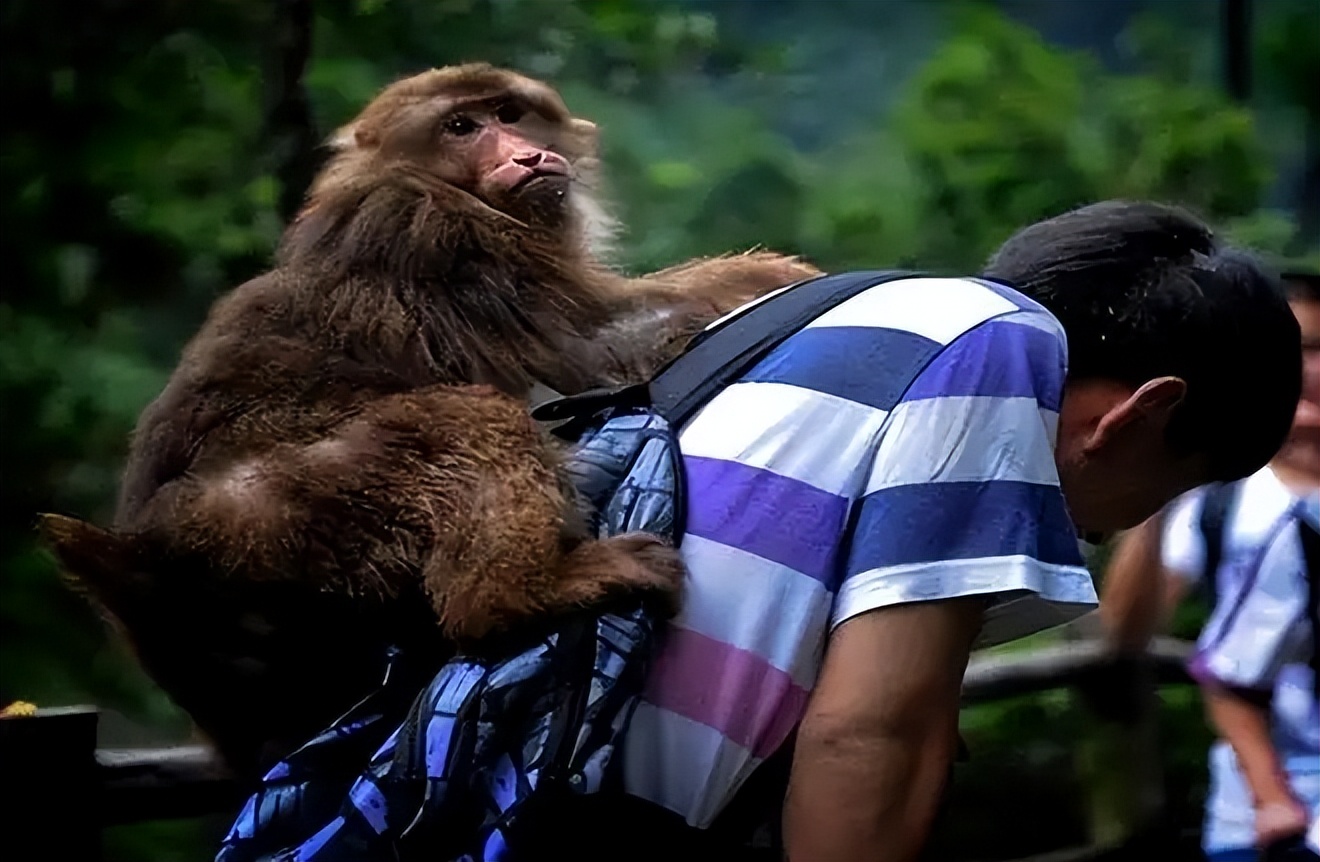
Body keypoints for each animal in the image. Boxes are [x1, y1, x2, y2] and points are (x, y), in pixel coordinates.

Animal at [37, 63, 820, 777]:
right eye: (461, 127)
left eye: (510, 113)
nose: (526, 155)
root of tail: (145, 557)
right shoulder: (437, 231)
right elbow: (599, 348)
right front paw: (789, 281)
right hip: (271, 517)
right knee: (464, 418)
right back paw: (514, 598)